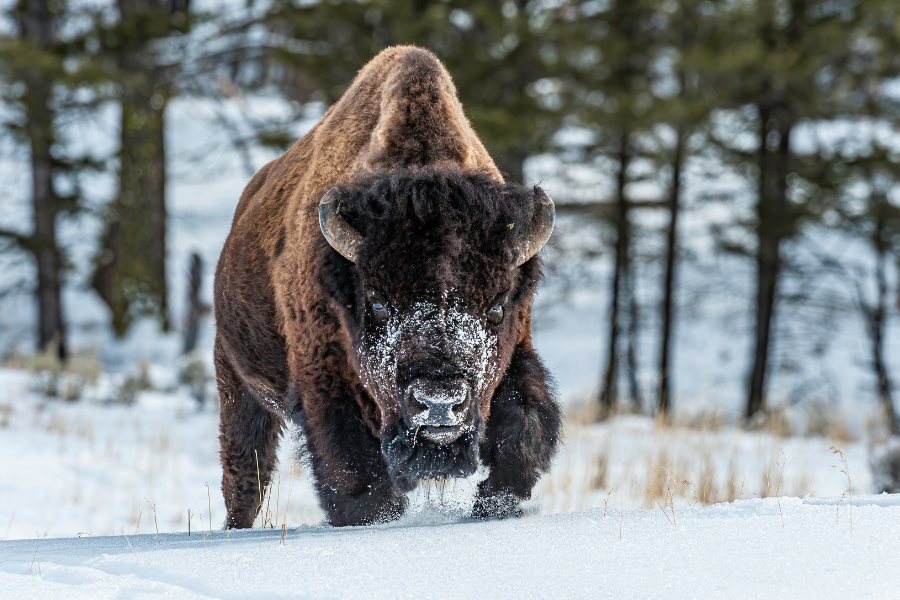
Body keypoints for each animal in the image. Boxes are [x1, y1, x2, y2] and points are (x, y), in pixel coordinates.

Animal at [214, 46, 560, 528]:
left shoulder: (517, 354)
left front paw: (491, 505)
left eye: (496, 308)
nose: (439, 402)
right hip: (236, 380)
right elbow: (356, 473)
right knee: (247, 471)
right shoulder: (325, 382)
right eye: (377, 304)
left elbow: (526, 431)